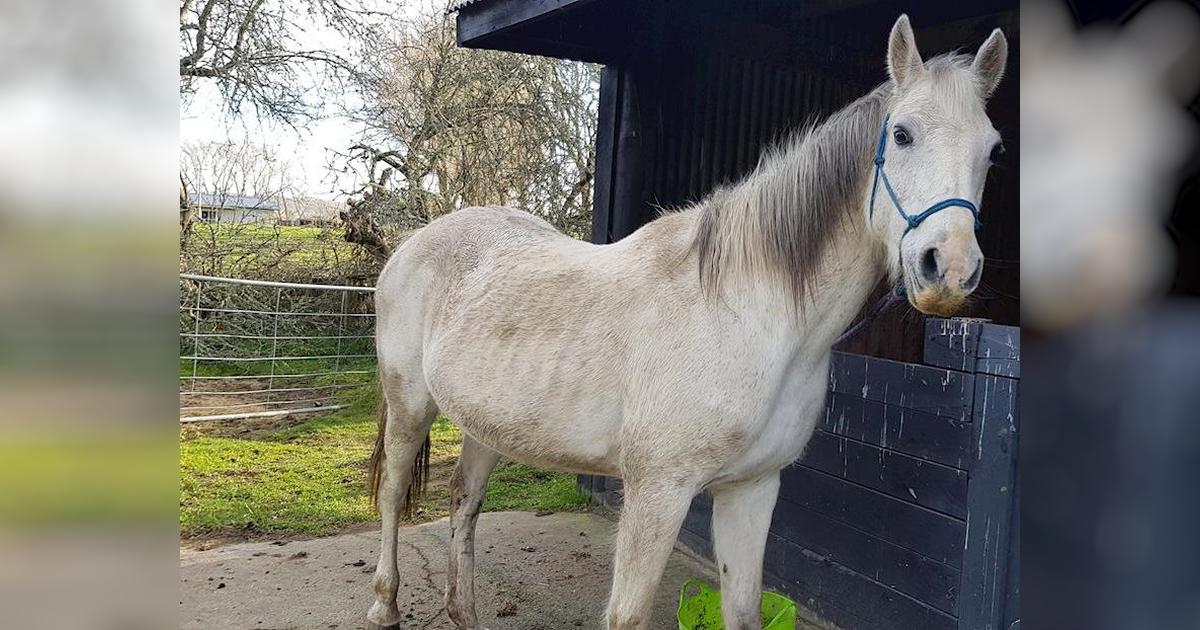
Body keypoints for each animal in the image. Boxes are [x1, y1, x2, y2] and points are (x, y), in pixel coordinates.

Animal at [365, 14, 1007, 630]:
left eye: (994, 150)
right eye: (902, 134)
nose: (949, 269)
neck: (749, 313)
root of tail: (413, 244)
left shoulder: (752, 489)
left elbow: (743, 612)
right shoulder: (657, 491)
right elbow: (627, 615)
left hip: (486, 424)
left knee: (463, 501)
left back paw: (463, 612)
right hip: (410, 405)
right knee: (394, 495)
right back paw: (385, 605)